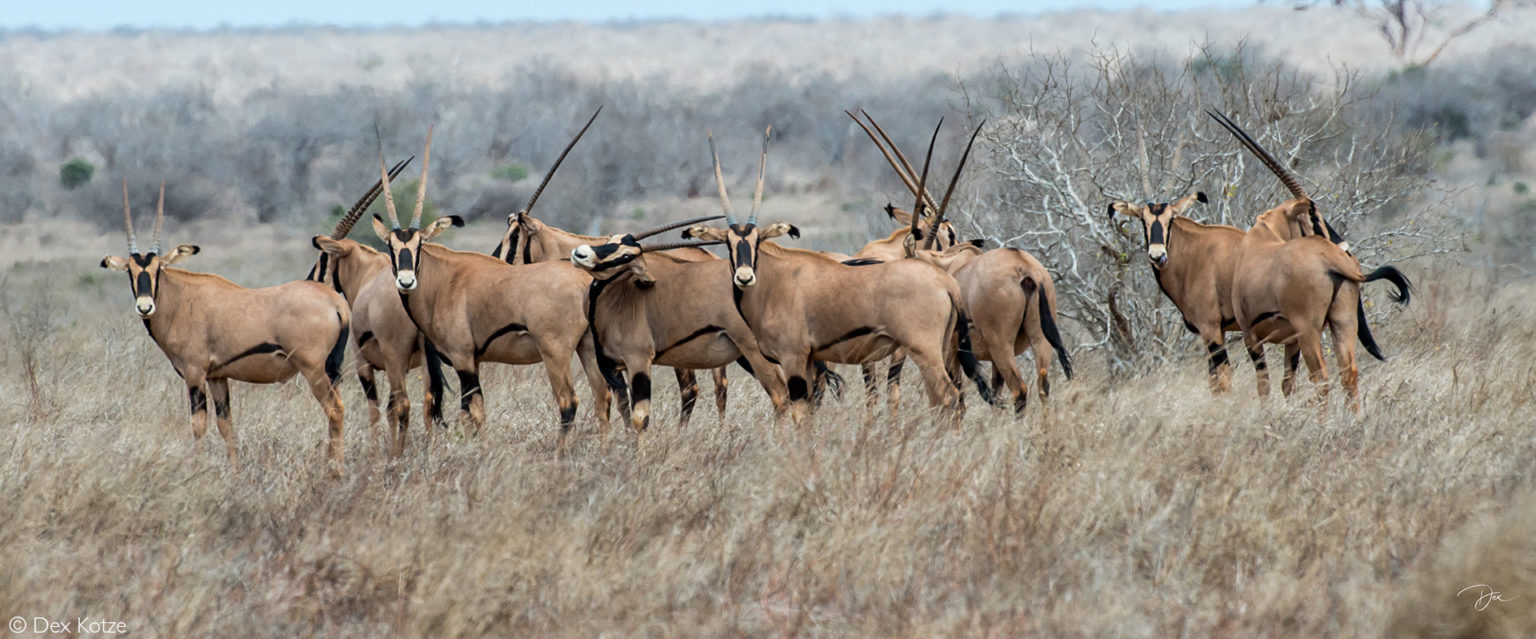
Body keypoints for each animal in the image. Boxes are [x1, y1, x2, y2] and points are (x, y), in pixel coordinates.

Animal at [101, 182, 351, 474]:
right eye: (130, 271)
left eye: (158, 269)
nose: (145, 306)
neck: (181, 299)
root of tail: (335, 302)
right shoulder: (217, 377)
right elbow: (225, 424)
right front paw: (235, 470)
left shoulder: (194, 373)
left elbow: (198, 425)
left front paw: (196, 468)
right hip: (332, 369)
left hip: (313, 369)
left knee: (335, 409)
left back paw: (335, 470)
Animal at [310, 157, 453, 456]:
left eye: (324, 258)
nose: (310, 281)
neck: (367, 272)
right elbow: (389, 409)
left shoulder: (365, 363)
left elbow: (375, 410)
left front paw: (375, 455)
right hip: (422, 359)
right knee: (428, 400)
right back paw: (427, 452)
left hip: (394, 356)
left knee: (405, 404)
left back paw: (396, 457)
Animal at [371, 126, 613, 442]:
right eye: (390, 246)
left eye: (419, 244)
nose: (406, 280)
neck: (443, 279)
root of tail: (586, 281)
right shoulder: (473, 361)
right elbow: (472, 413)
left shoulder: (462, 358)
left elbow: (472, 412)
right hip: (587, 348)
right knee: (603, 396)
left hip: (555, 352)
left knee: (568, 401)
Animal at [569, 216, 794, 435]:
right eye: (610, 240)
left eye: (626, 256)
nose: (580, 253)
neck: (618, 295)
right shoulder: (613, 366)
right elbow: (621, 408)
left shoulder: (638, 361)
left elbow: (640, 418)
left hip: (754, 352)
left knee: (780, 395)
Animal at [1211, 110, 1412, 408]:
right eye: (1315, 218)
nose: (1341, 244)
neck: (1262, 237)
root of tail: (1334, 262)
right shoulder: (1289, 340)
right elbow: (1287, 383)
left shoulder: (1251, 334)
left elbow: (1264, 386)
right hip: (1341, 322)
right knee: (1348, 373)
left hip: (1309, 330)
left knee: (1321, 377)